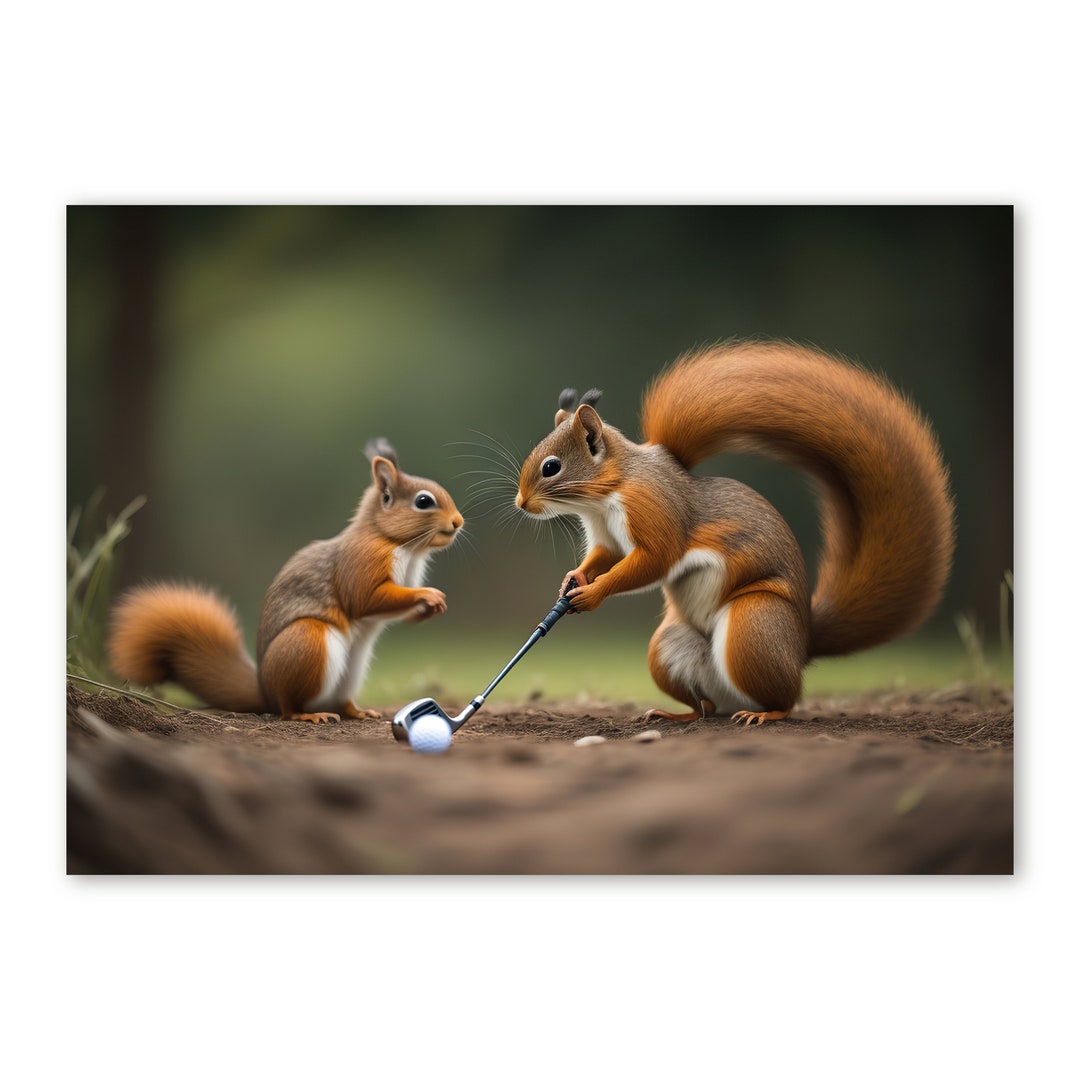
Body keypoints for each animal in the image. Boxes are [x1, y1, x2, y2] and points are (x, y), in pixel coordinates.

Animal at [107, 439, 463, 723]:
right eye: (423, 501)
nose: (458, 522)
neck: (401, 545)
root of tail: (265, 691)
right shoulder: (361, 563)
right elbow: (364, 599)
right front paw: (428, 594)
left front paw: (431, 606)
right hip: (307, 641)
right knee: (287, 707)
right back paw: (309, 715)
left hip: (353, 669)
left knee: (341, 700)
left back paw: (358, 711)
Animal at [515, 338, 956, 725]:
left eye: (551, 467)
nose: (521, 503)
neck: (607, 494)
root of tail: (802, 644)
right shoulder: (606, 535)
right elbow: (606, 557)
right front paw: (574, 578)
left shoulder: (653, 511)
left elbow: (654, 559)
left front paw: (592, 593)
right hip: (669, 649)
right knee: (706, 706)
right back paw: (678, 714)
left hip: (753, 626)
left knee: (785, 698)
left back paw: (765, 714)